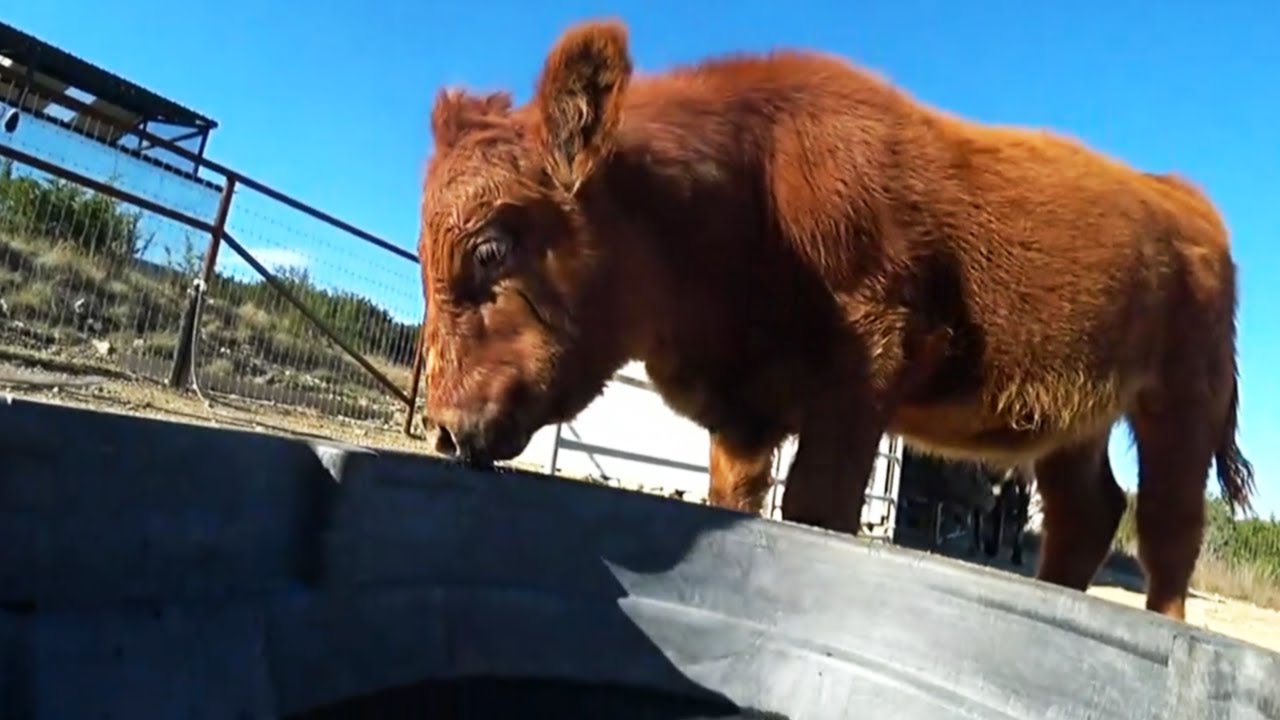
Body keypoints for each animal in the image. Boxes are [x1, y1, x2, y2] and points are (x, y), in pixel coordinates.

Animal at [415, 19, 1253, 620]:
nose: (447, 429)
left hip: (1183, 399)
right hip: (1074, 418)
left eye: (491, 247)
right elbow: (739, 501)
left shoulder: (860, 375)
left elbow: (816, 509)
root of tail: (1179, 193)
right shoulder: (744, 415)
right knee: (1087, 514)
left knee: (1169, 530)